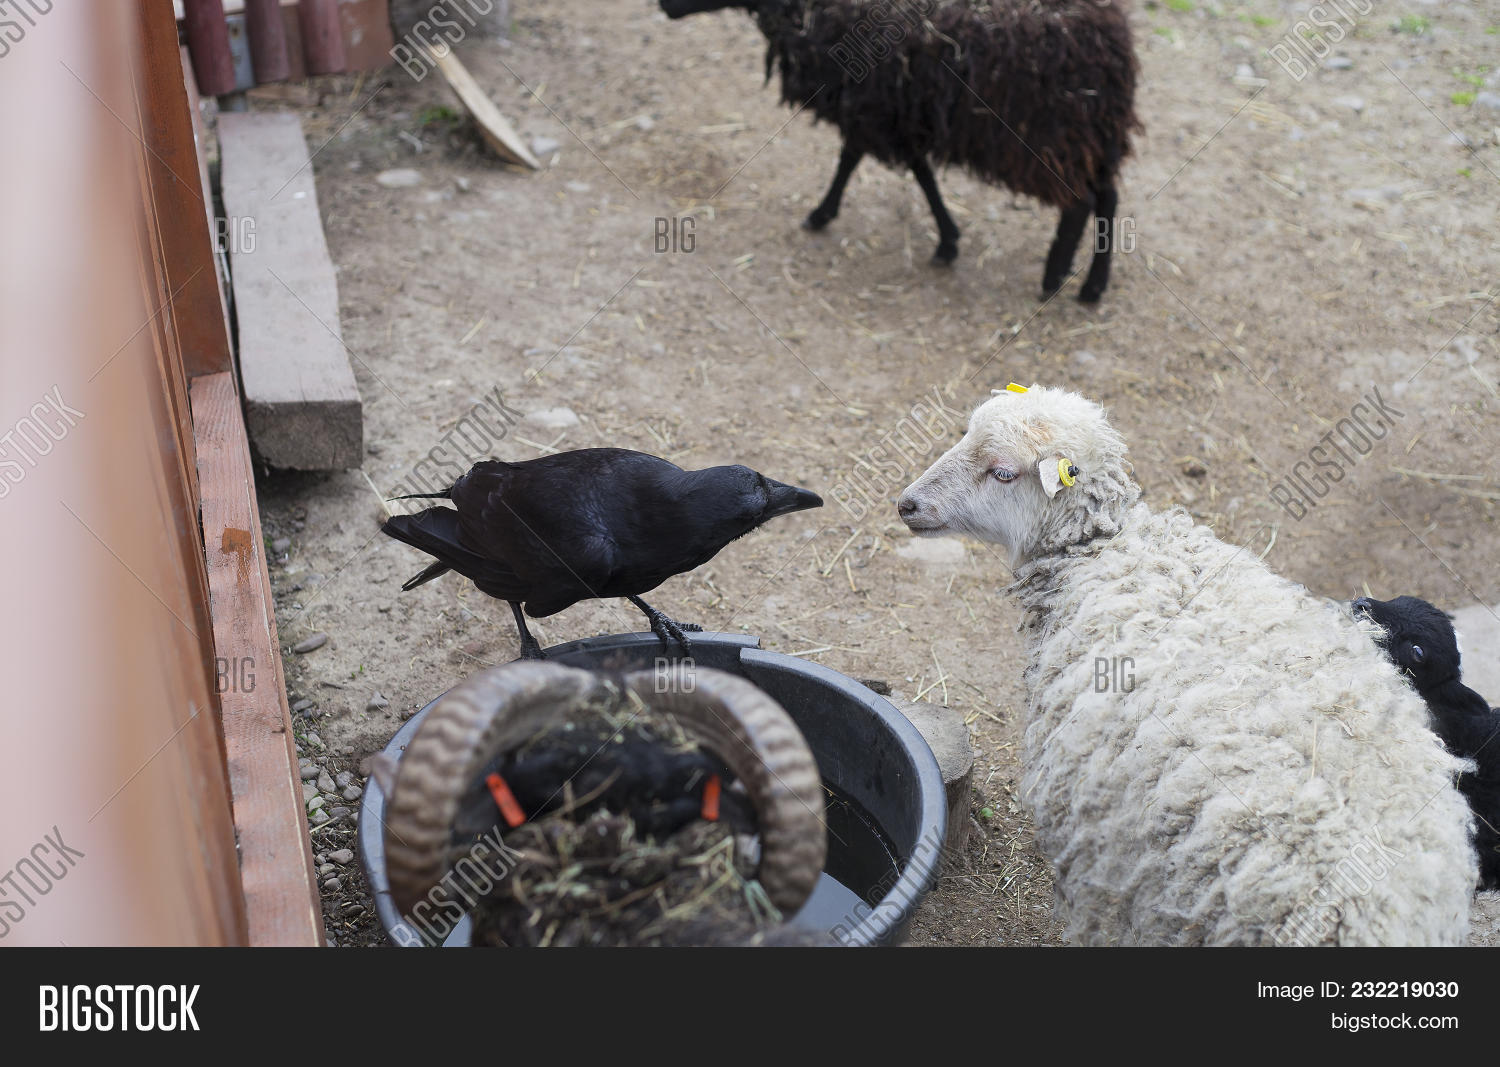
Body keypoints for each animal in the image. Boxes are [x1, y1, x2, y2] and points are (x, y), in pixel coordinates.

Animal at [659, 0, 1141, 302]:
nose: (663, 6)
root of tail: (1111, 43)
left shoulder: (876, 105)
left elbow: (873, 161)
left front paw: (823, 214)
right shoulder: (890, 108)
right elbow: (897, 166)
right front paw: (946, 239)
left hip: (1052, 135)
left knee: (1080, 202)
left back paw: (1054, 274)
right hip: (1094, 134)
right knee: (1108, 197)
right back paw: (1093, 287)